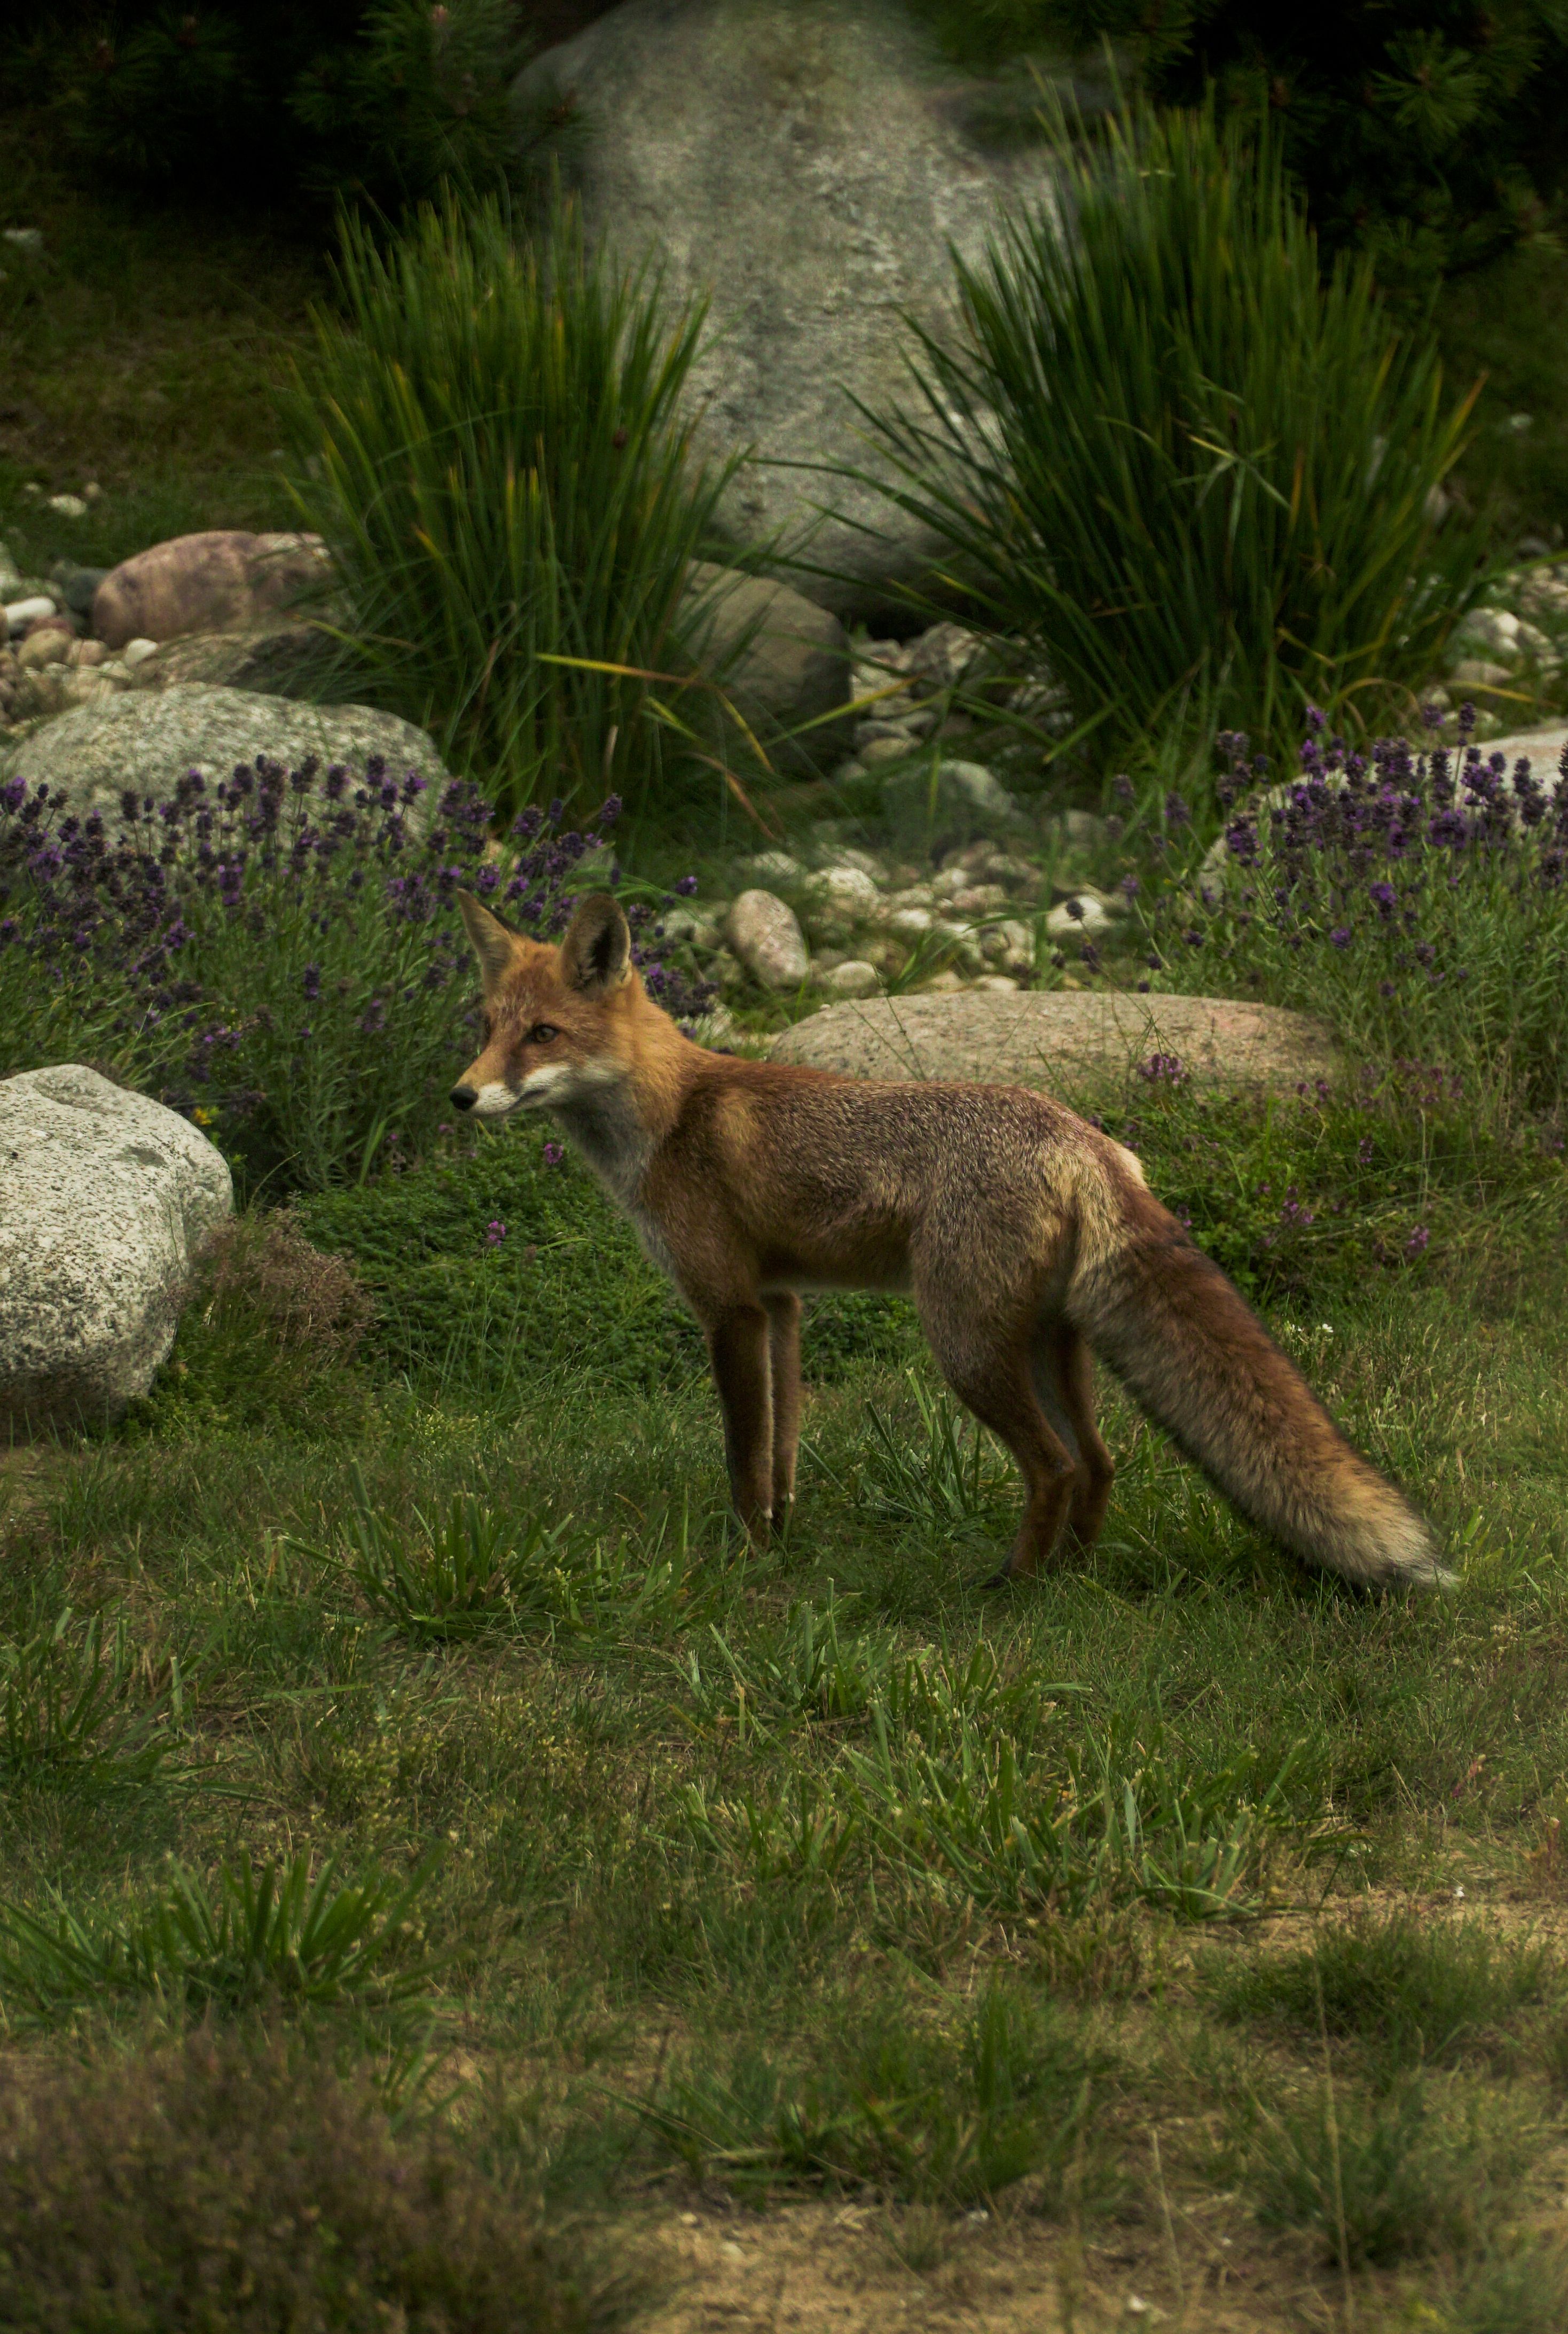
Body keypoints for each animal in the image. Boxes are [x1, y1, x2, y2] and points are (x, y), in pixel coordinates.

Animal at [449, 888, 1449, 1593]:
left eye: (543, 1034)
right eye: (487, 1028)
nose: (459, 1095)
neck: (670, 1115)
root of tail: (1084, 1139)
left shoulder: (728, 1306)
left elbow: (743, 1455)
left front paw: (742, 1559)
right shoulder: (782, 1303)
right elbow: (782, 1450)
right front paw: (783, 1542)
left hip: (965, 1346)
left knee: (1053, 1465)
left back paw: (1012, 1586)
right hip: (1047, 1341)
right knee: (1099, 1460)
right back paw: (1072, 1580)